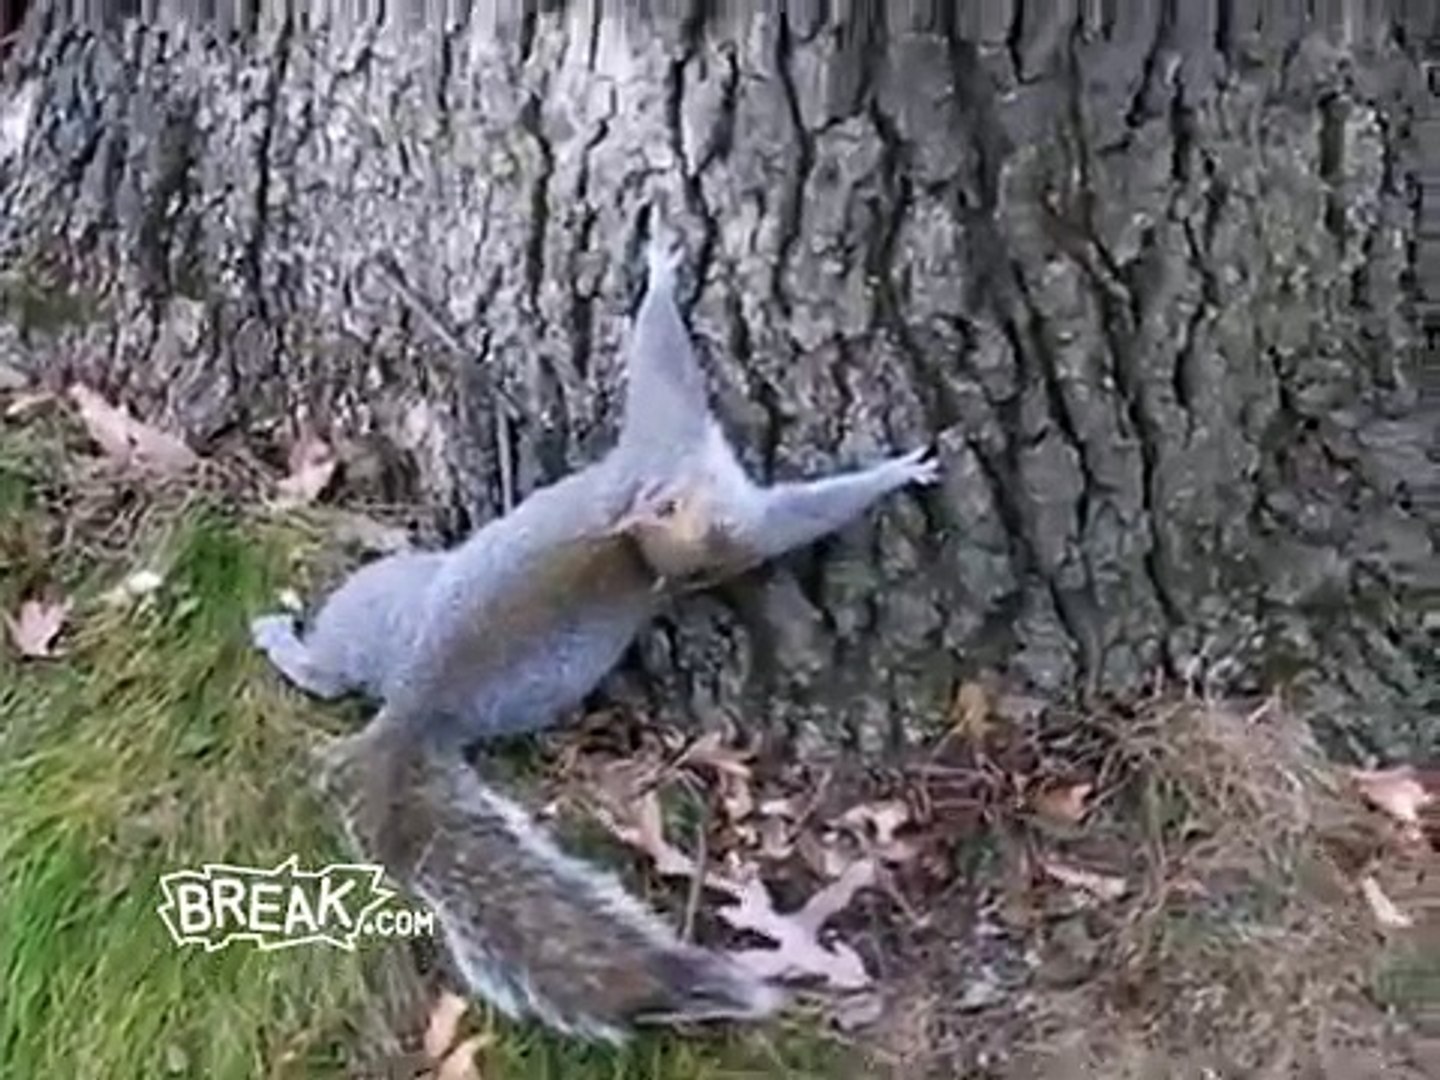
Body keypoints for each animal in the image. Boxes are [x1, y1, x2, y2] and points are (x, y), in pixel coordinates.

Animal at [250, 227, 941, 1042]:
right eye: (675, 507)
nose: (707, 541)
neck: (649, 542)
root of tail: (416, 704)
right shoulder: (677, 449)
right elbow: (671, 371)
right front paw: (663, 269)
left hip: (385, 611)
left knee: (332, 673)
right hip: (387, 598)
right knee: (327, 670)